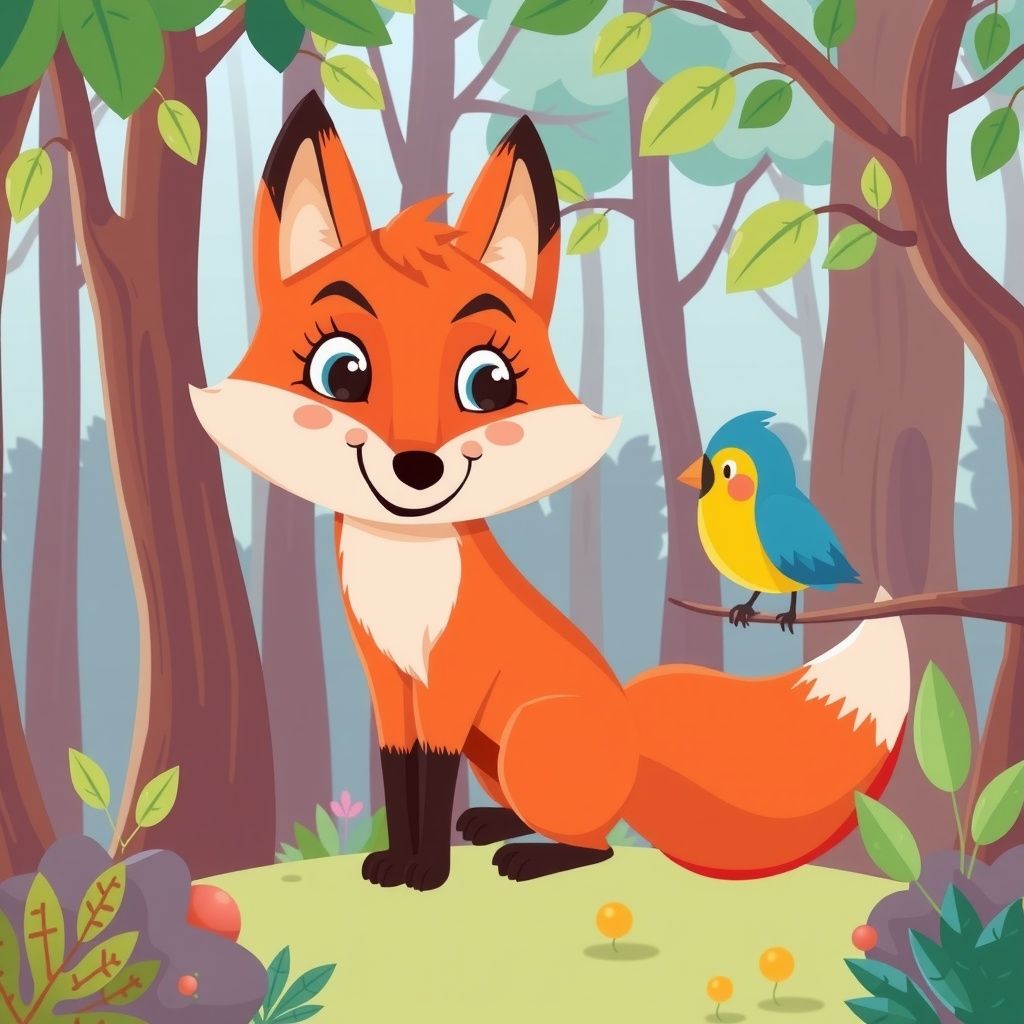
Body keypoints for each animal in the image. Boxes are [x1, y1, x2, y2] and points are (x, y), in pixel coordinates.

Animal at [191, 93, 911, 891]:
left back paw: (530, 855)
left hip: (528, 736)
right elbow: (397, 771)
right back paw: (492, 824)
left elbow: (428, 774)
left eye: (489, 384)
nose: (418, 468)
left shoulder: (450, 681)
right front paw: (398, 861)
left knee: (596, 844)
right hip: (499, 754)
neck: (406, 576)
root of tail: (630, 745)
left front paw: (425, 872)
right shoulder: (388, 680)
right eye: (341, 373)